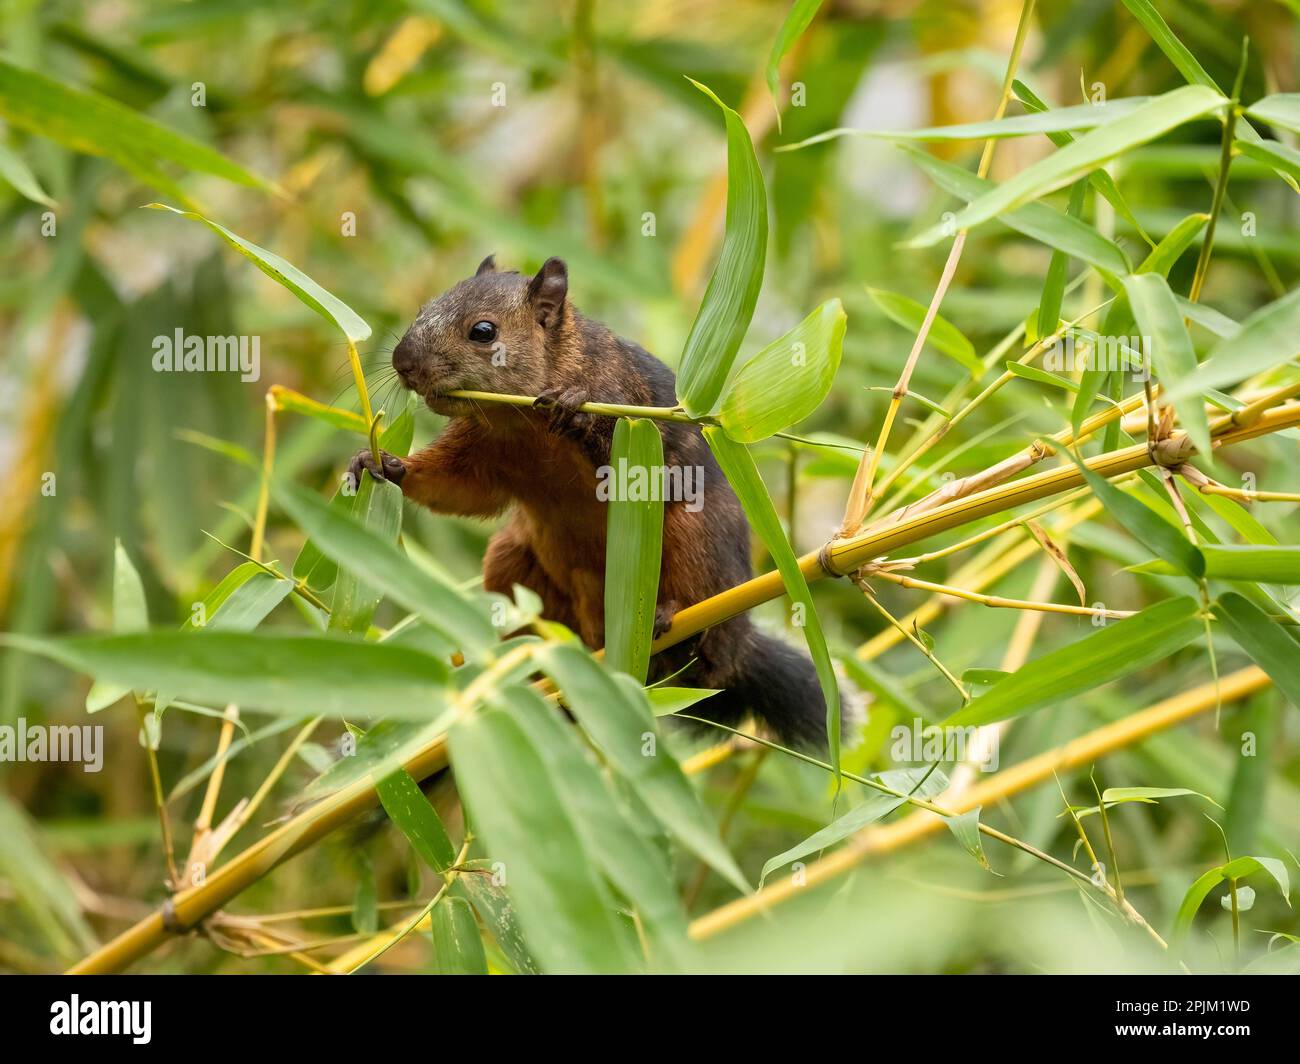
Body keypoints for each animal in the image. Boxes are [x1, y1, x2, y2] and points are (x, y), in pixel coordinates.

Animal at [349, 255, 837, 748]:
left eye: (483, 331)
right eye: (422, 308)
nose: (403, 363)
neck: (518, 418)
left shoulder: (628, 408)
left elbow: (625, 459)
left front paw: (575, 409)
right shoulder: (483, 451)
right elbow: (457, 486)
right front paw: (385, 464)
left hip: (699, 540)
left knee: (706, 626)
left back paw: (673, 620)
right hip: (515, 559)